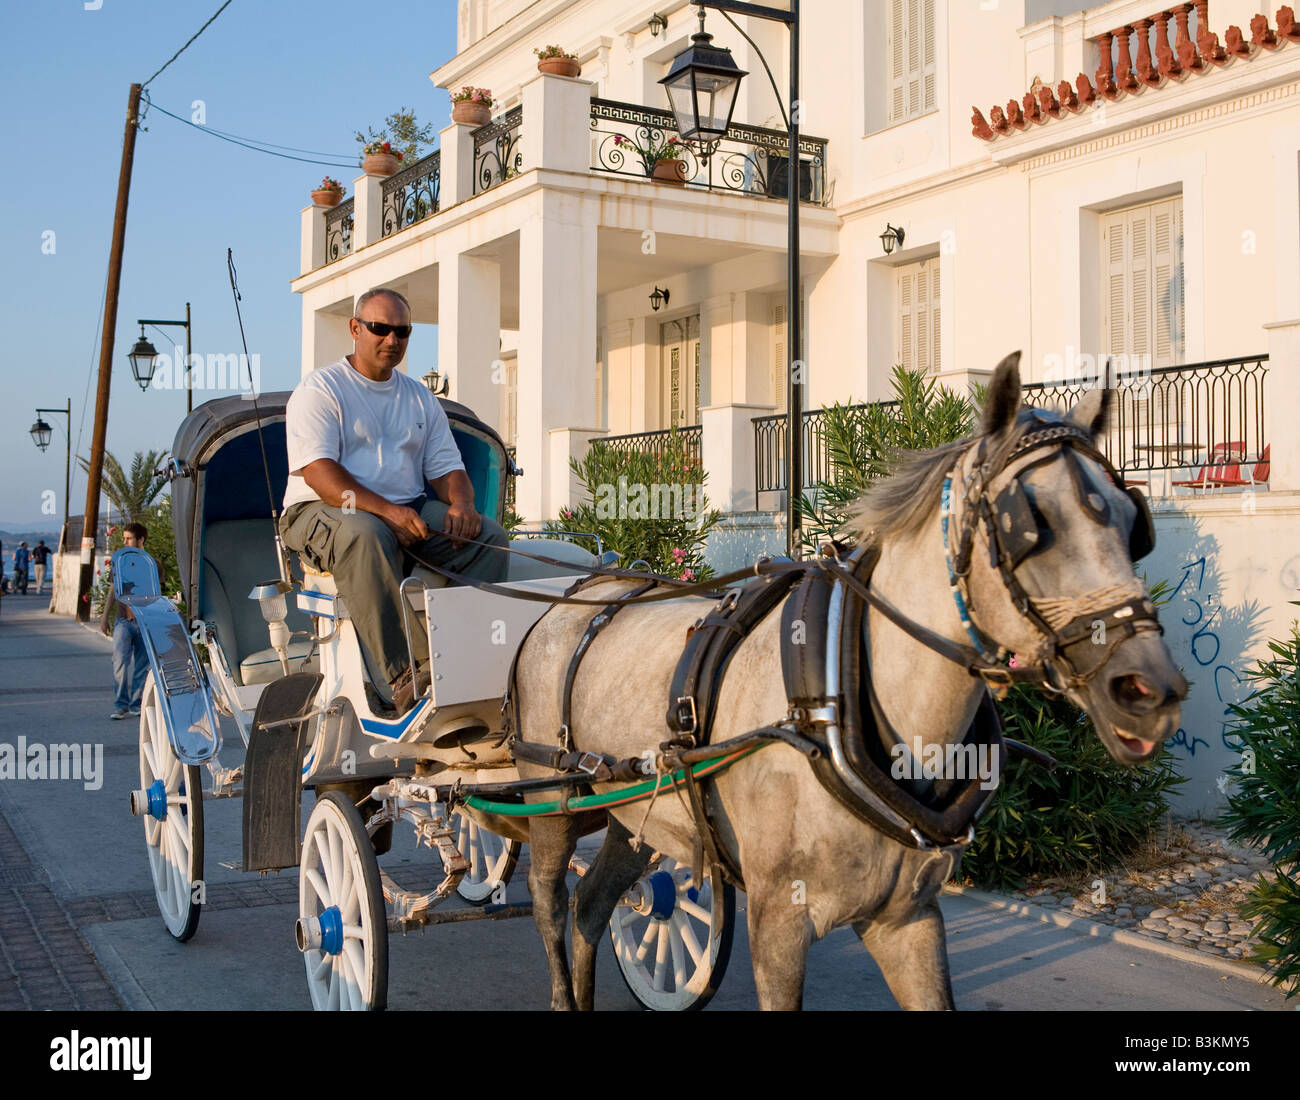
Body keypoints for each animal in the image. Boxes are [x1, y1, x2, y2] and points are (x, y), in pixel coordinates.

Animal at [511, 351, 1187, 1010]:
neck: (832, 701)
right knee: (550, 906)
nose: (1149, 690)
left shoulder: (909, 917)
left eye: (1131, 520)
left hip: (632, 815)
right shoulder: (777, 921)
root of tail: (579, 592)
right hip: (551, 801)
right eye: (1031, 523)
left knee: (591, 908)